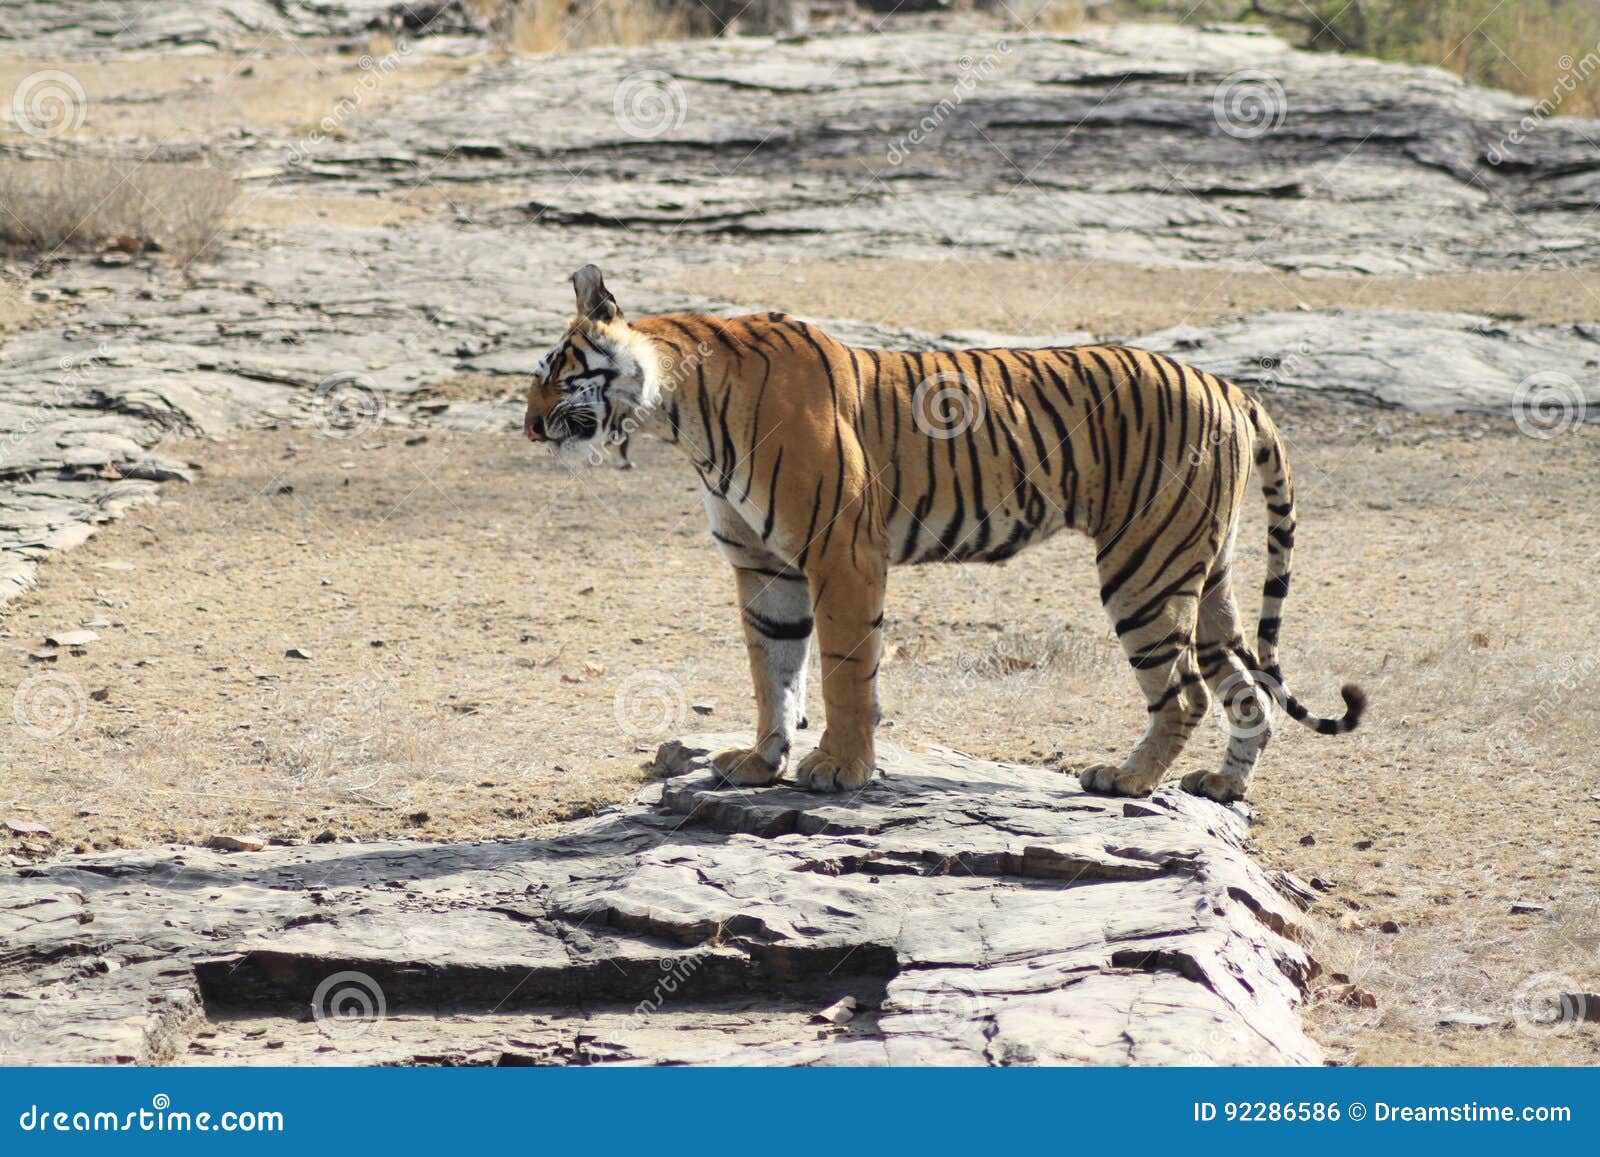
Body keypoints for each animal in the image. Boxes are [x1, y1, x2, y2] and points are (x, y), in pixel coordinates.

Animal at [524, 266, 1365, 802]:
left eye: (559, 374)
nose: (529, 429)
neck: (681, 413)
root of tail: (1226, 382)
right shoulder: (763, 568)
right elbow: (774, 673)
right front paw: (761, 761)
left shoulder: (841, 552)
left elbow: (842, 670)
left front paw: (838, 767)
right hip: (1202, 571)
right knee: (1248, 690)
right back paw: (1221, 785)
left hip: (1144, 569)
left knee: (1185, 689)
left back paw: (1125, 779)